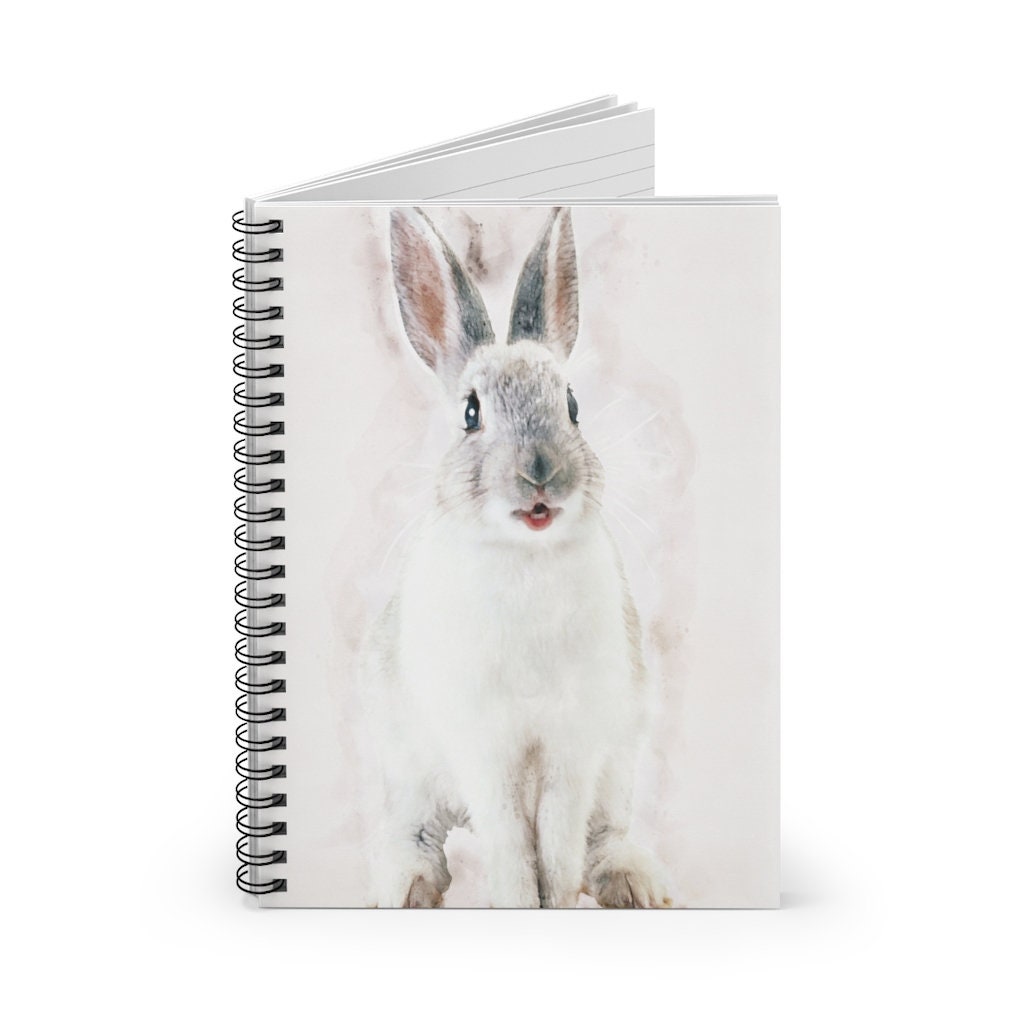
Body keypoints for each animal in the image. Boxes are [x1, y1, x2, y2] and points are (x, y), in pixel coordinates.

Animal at [359, 205, 671, 908]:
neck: (525, 556)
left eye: (573, 405)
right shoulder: (485, 745)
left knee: (604, 834)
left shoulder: (573, 746)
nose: (540, 471)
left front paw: (555, 902)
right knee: (419, 833)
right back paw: (403, 887)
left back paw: (635, 884)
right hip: (405, 767)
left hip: (620, 762)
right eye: (471, 413)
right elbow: (512, 843)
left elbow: (556, 843)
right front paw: (519, 904)